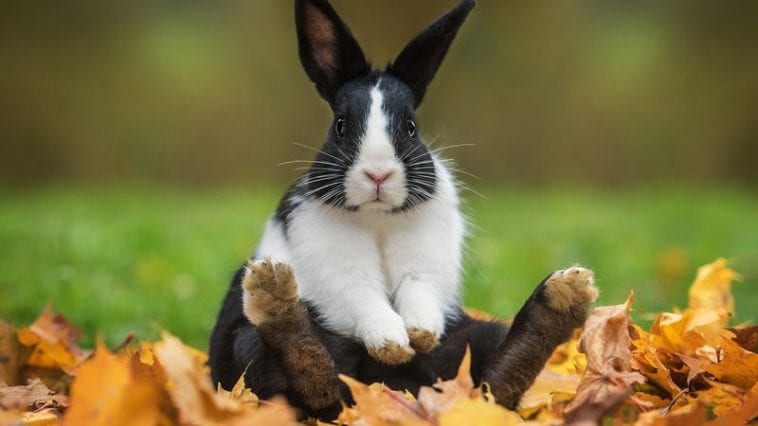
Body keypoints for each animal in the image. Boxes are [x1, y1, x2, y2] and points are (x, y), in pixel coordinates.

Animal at [209, 0, 598, 420]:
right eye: (341, 126)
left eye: (411, 127)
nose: (378, 174)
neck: (377, 216)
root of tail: (399, 389)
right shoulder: (338, 269)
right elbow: (363, 296)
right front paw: (393, 344)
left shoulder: (424, 266)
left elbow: (418, 290)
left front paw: (419, 335)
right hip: (249, 345)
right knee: (313, 383)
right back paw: (275, 295)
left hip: (474, 338)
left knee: (494, 386)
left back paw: (562, 298)